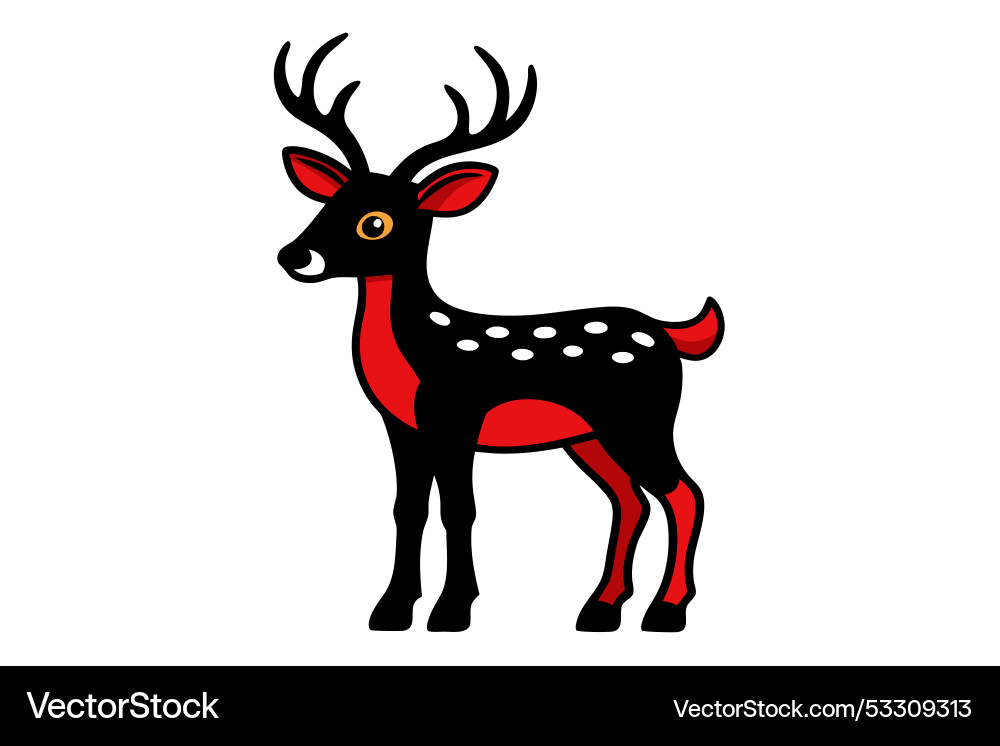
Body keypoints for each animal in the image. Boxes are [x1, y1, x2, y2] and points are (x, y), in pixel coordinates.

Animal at [273, 34, 723, 632]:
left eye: (376, 222)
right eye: (329, 201)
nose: (294, 255)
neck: (420, 351)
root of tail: (671, 335)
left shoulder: (456, 416)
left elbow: (459, 508)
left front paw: (452, 610)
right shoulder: (401, 426)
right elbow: (407, 508)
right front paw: (391, 609)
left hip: (640, 419)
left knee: (685, 492)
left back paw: (666, 611)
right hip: (589, 436)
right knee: (632, 500)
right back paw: (601, 608)